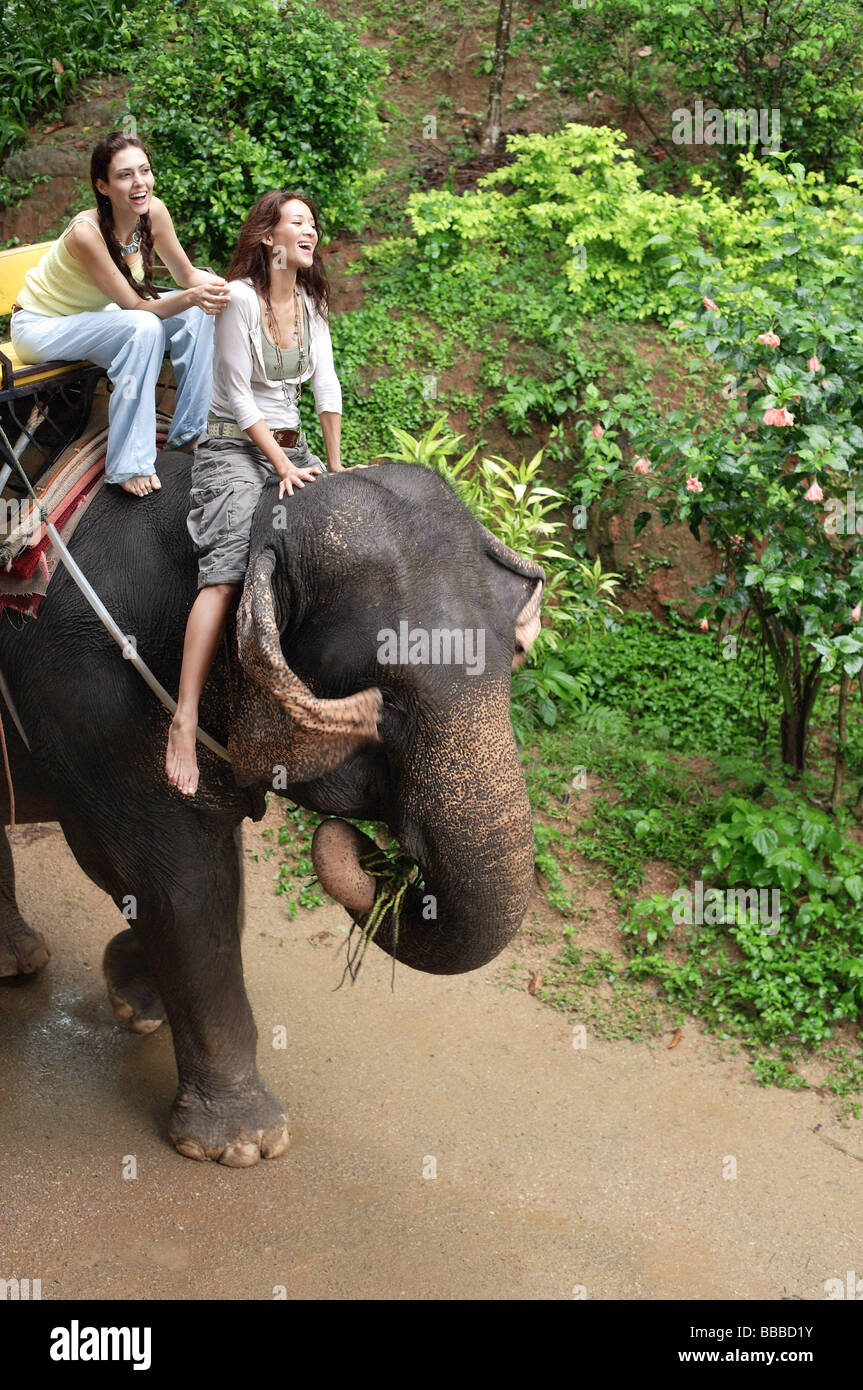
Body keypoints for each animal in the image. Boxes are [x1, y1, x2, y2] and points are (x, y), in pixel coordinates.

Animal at [0, 450, 544, 1165]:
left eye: (511, 660)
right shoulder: (90, 698)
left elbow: (215, 873)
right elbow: (173, 881)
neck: (249, 523)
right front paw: (242, 1145)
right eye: (386, 700)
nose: (367, 851)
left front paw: (136, 998)